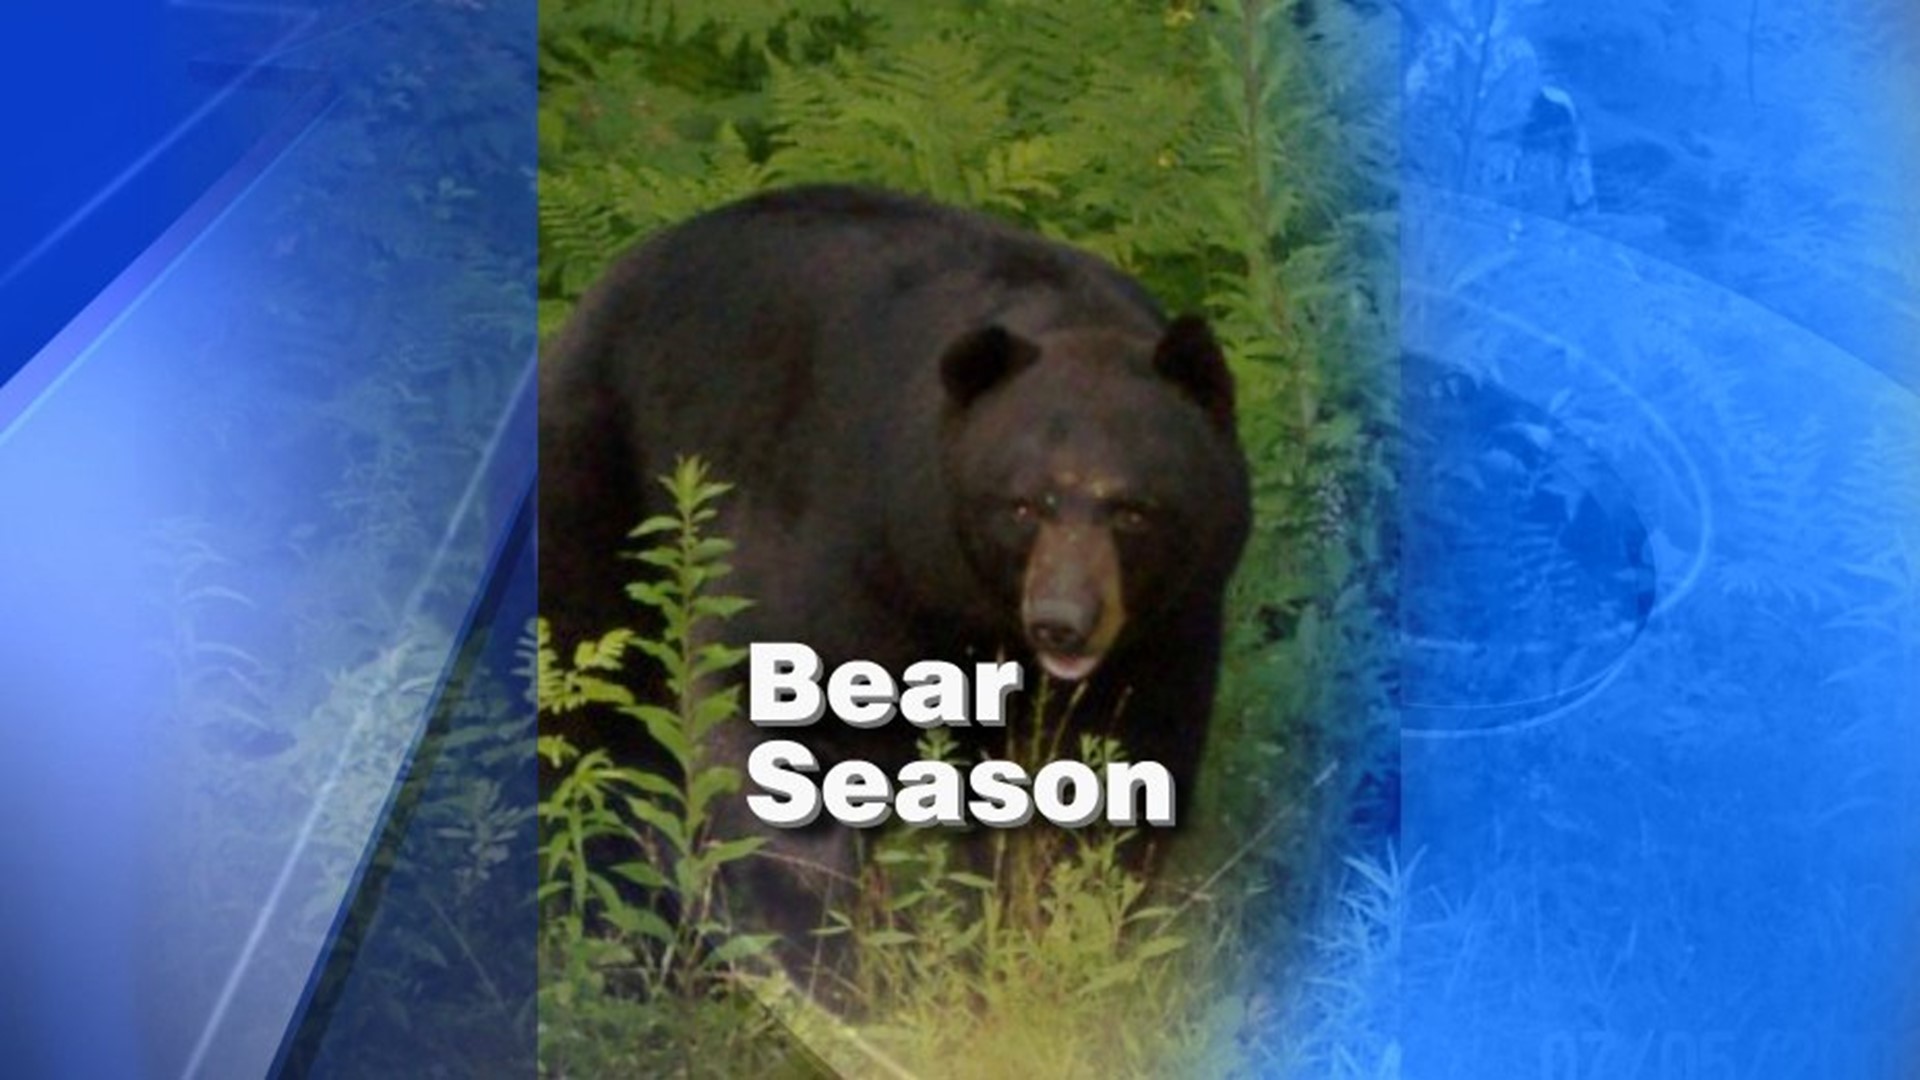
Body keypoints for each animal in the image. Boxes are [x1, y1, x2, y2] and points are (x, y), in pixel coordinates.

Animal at [539, 184, 1252, 993]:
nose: (1063, 622)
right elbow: (778, 732)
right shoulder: (836, 547)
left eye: (1132, 508)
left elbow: (1119, 775)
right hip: (606, 495)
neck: (961, 597)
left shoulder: (1168, 630)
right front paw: (835, 966)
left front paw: (1060, 939)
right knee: (599, 719)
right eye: (1023, 504)